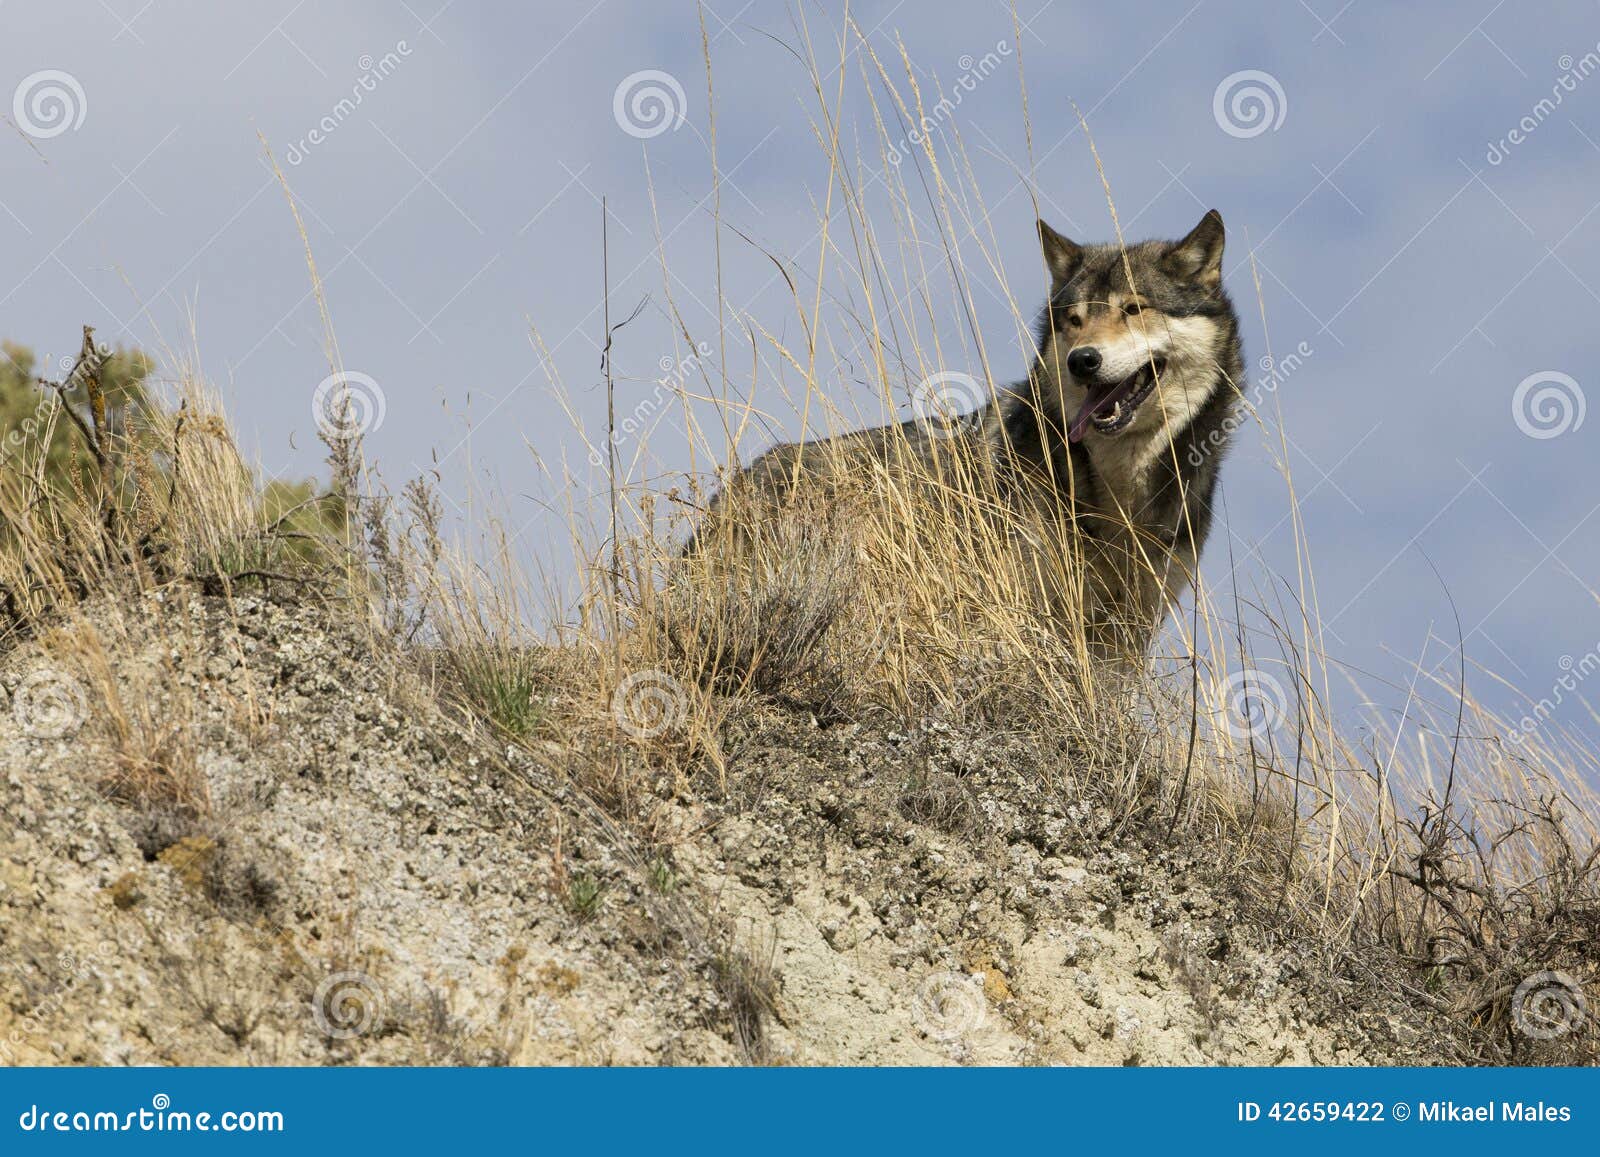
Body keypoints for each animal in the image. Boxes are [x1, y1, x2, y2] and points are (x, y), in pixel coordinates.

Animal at [686, 211, 1243, 661]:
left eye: (1133, 309)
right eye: (1074, 319)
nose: (1082, 360)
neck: (1120, 493)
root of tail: (736, 486)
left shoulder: (1127, 632)